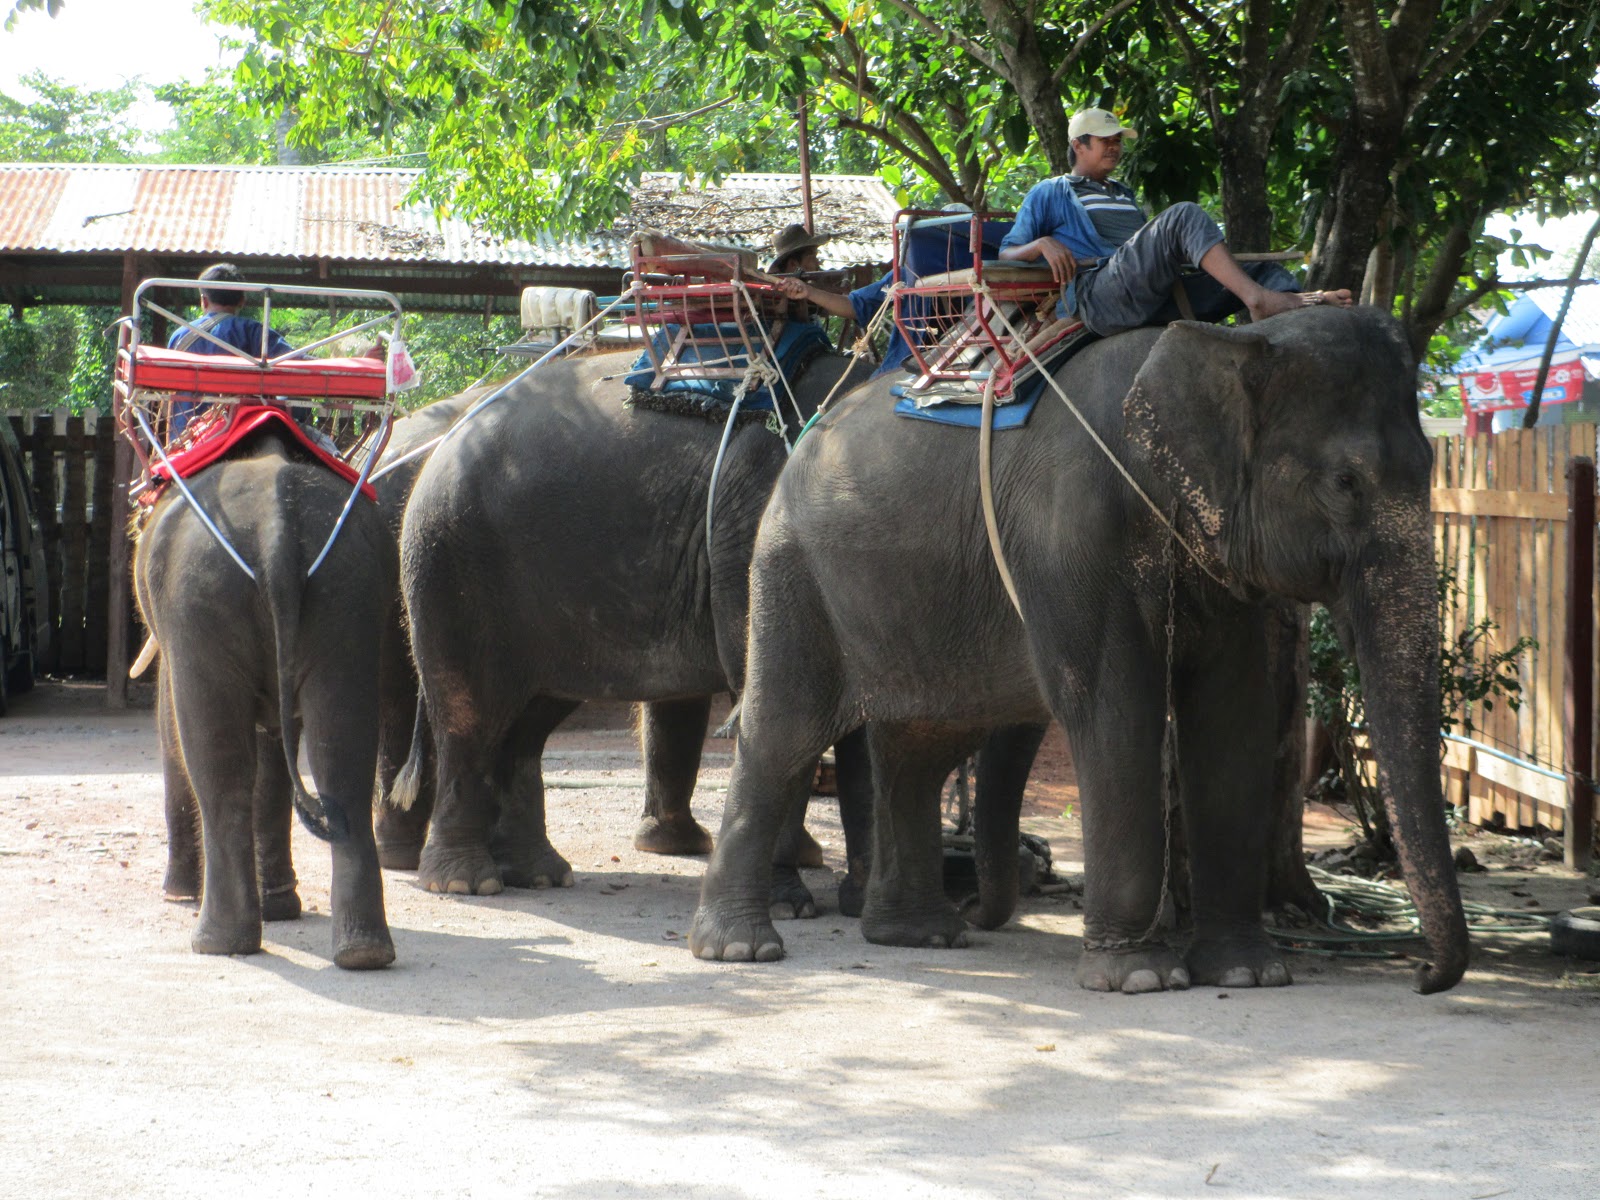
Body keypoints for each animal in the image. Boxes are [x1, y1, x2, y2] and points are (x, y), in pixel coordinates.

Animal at [135, 424, 397, 969]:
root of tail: (275, 525)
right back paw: (363, 953)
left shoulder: (175, 635)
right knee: (343, 759)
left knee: (218, 764)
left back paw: (217, 942)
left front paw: (177, 894)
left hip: (201, 601)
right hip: (350, 596)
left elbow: (172, 726)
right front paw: (279, 908)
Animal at [398, 346, 880, 901]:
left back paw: (538, 874)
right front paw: (792, 905)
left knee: (528, 724)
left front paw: (858, 904)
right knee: (470, 716)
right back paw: (466, 882)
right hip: (452, 565)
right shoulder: (749, 537)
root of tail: (441, 443)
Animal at [690, 305, 1470, 995]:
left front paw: (1249, 974)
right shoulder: (1074, 534)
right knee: (783, 732)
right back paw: (742, 948)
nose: (1425, 980)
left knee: (922, 746)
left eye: (1433, 463)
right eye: (1345, 483)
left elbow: (1232, 717)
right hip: (790, 571)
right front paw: (1141, 979)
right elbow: (1114, 710)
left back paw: (921, 935)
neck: (1223, 339)